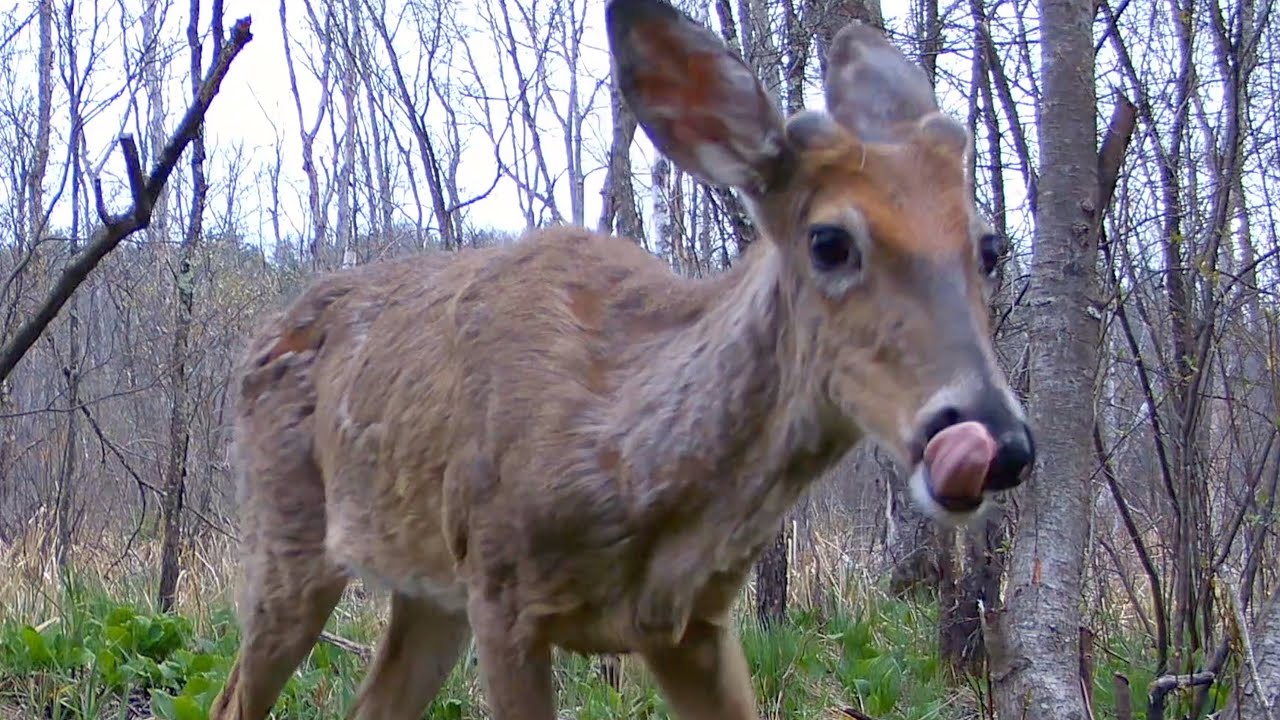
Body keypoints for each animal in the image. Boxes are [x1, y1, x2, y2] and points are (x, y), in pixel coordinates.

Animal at [209, 0, 1035, 718]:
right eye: (830, 241)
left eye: (991, 246)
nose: (999, 441)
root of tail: (258, 340)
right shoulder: (503, 589)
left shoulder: (691, 623)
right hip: (287, 532)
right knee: (232, 697)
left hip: (427, 588)